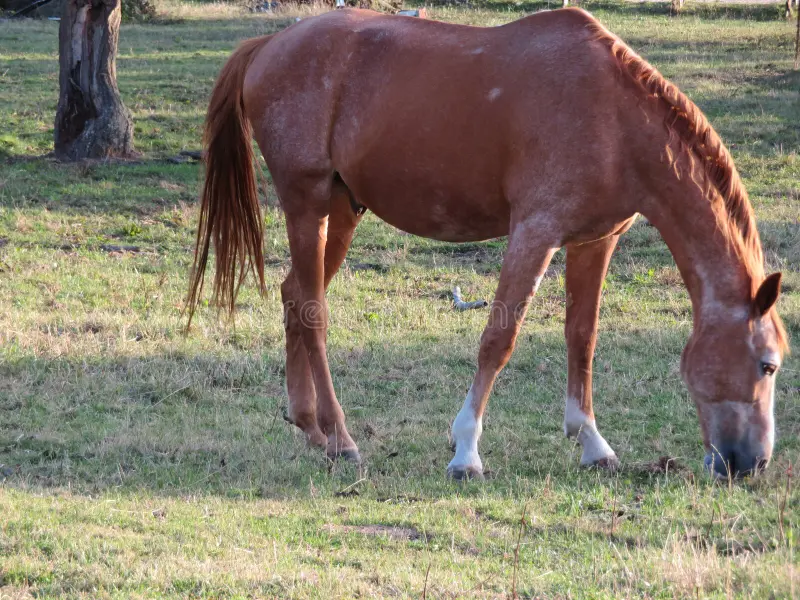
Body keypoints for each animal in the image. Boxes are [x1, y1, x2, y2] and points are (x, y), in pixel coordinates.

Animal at [186, 7, 788, 480]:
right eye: (768, 365)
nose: (751, 464)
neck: (615, 118)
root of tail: (269, 44)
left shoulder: (594, 242)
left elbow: (582, 339)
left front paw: (592, 442)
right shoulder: (535, 233)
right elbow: (499, 338)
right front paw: (466, 451)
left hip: (342, 209)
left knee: (293, 295)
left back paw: (309, 427)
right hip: (306, 203)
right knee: (313, 312)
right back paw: (341, 438)